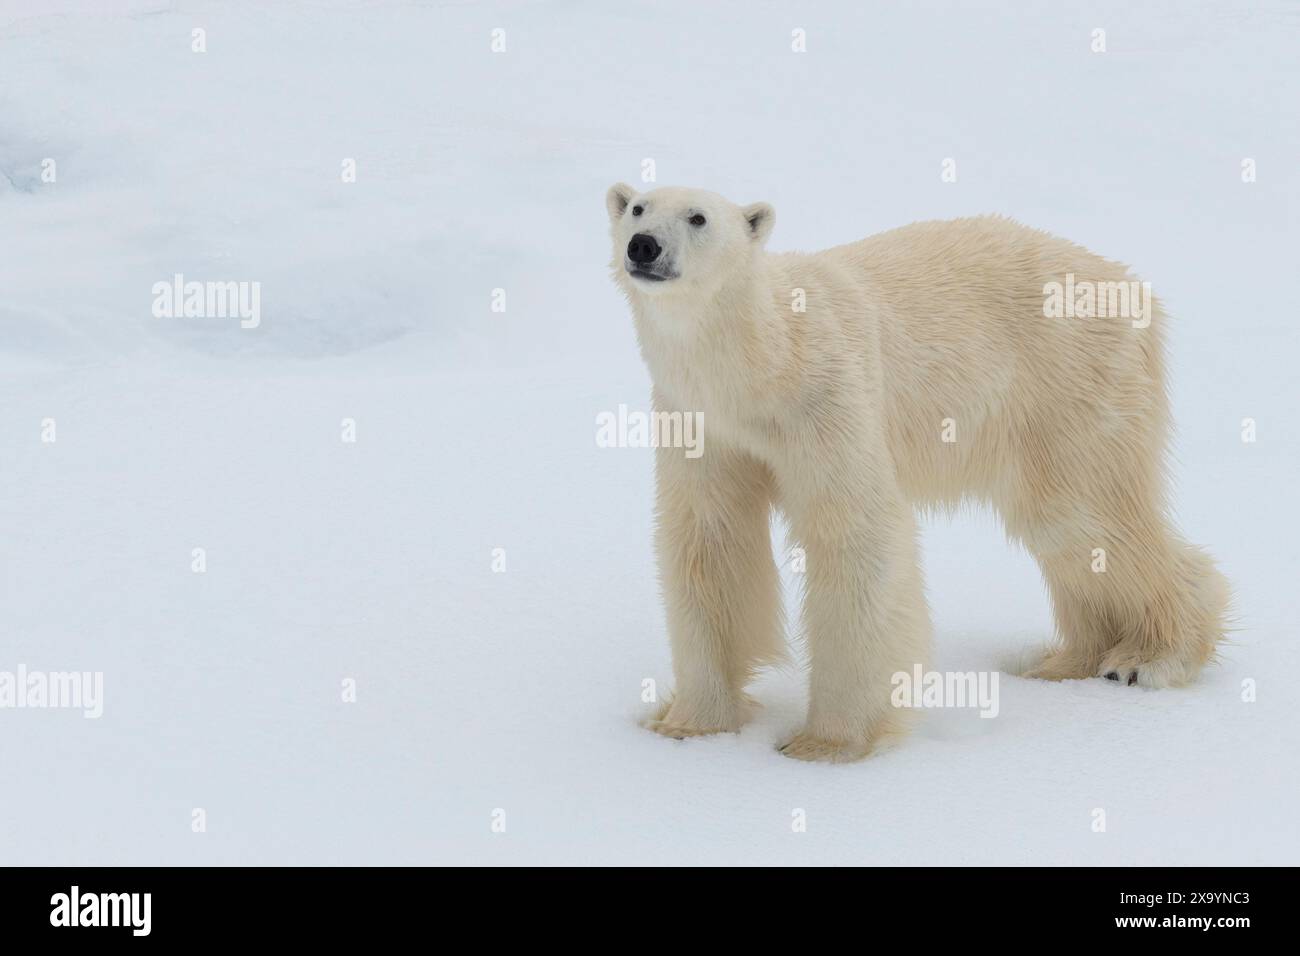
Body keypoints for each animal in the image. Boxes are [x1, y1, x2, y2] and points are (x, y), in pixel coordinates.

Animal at [606, 183, 1230, 762]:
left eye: (698, 217)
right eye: (637, 207)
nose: (644, 245)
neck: (763, 363)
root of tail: (1134, 288)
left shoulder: (826, 397)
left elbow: (854, 535)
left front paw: (826, 743)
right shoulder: (703, 423)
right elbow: (710, 542)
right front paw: (688, 724)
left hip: (1067, 381)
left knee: (1085, 514)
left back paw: (1149, 659)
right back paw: (1064, 661)